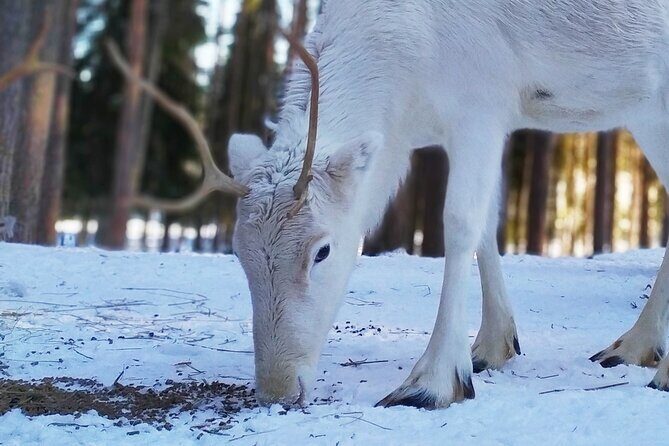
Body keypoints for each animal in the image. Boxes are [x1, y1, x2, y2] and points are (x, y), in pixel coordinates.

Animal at [112, 0, 669, 410]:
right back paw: (636, 346)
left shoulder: (482, 104)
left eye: (322, 251)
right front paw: (492, 346)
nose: (278, 388)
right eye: (238, 254)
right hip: (645, 110)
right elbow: (488, 224)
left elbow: (459, 222)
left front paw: (433, 381)